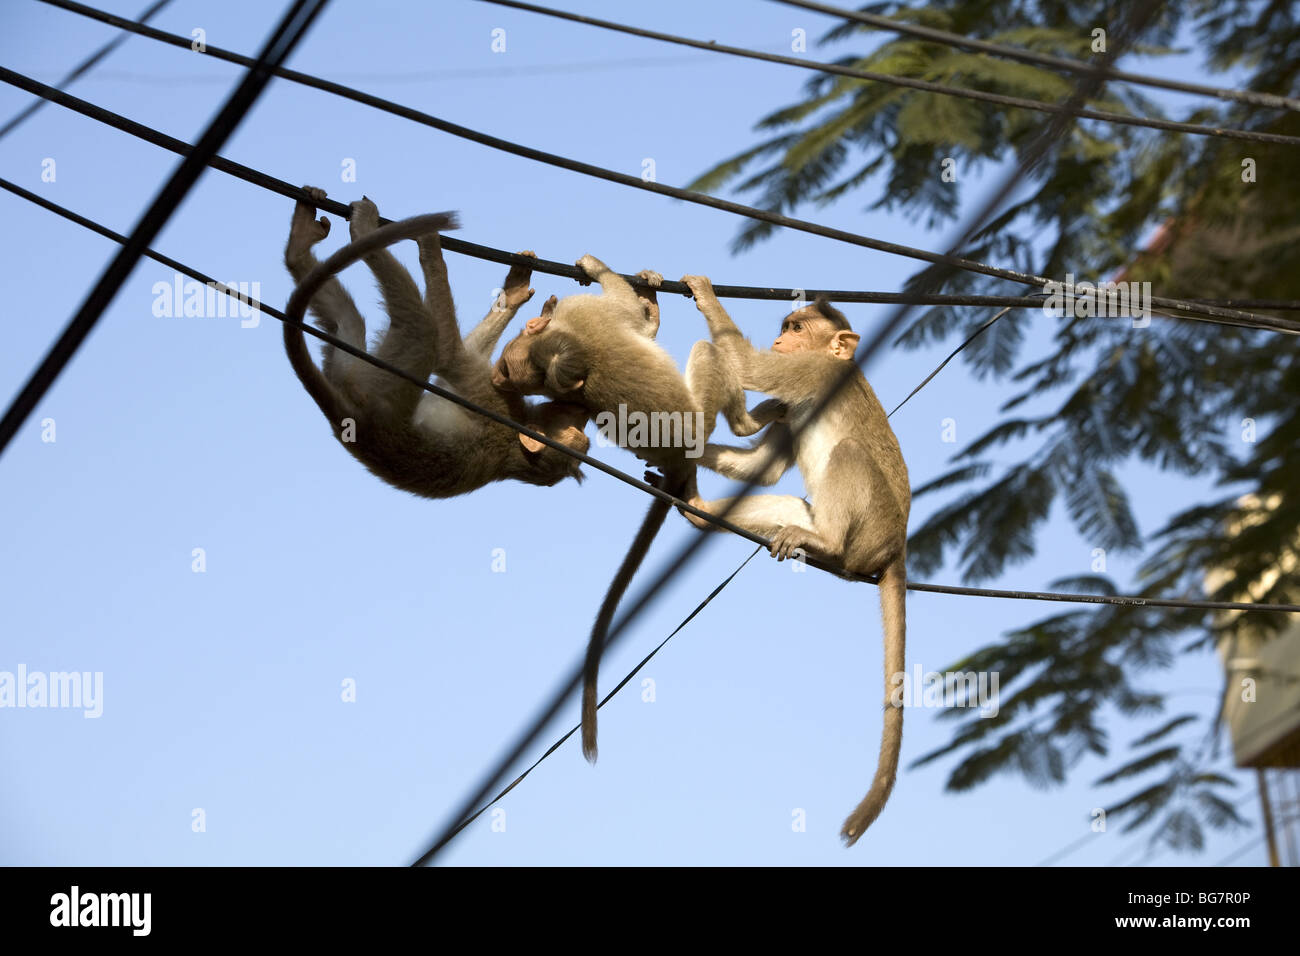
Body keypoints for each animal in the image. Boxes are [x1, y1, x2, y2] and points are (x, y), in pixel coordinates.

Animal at [281, 187, 591, 498]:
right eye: (578, 427)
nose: (583, 412)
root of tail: (359, 423)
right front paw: (512, 296)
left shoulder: (497, 404)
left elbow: (448, 354)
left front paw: (430, 244)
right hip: (349, 374)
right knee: (350, 322)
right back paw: (299, 250)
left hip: (377, 387)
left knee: (423, 327)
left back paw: (360, 230)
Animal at [492, 255, 780, 761]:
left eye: (508, 369)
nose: (497, 378)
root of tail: (681, 454)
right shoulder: (584, 316)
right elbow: (638, 325)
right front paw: (606, 272)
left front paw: (641, 286)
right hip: (701, 413)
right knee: (709, 353)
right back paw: (748, 424)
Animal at [677, 274, 911, 847]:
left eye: (797, 328)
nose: (782, 339)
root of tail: (899, 547)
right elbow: (760, 469)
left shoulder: (814, 374)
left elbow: (751, 368)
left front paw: (703, 290)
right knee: (788, 505)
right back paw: (703, 511)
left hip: (873, 528)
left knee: (849, 453)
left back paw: (828, 545)